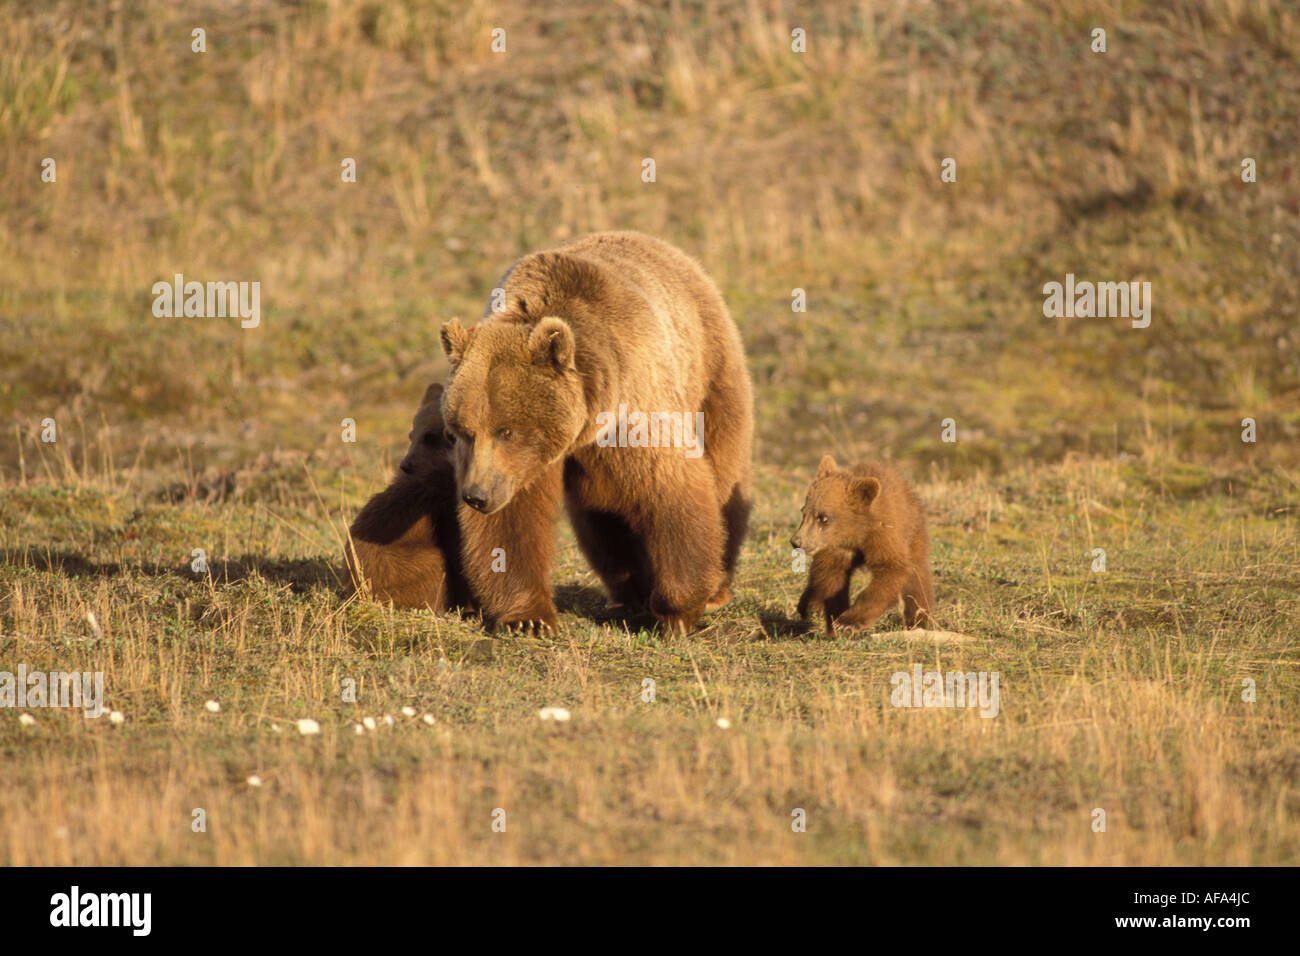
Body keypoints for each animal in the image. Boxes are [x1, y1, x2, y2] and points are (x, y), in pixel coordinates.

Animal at [438, 231, 753, 635]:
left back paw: (715, 588)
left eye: (505, 430)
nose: (476, 495)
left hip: (710, 371)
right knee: (602, 513)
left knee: (723, 471)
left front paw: (679, 608)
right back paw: (632, 590)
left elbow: (669, 486)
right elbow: (514, 517)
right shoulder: (521, 466)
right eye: (461, 431)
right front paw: (527, 618)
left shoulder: (635, 404)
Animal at [790, 454, 935, 635]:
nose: (796, 541)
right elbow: (832, 578)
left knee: (917, 575)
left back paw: (919, 619)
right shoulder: (836, 548)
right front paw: (835, 622)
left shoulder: (884, 534)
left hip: (913, 531)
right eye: (804, 512)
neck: (856, 533)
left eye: (823, 517)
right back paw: (809, 605)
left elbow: (893, 569)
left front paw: (847, 622)